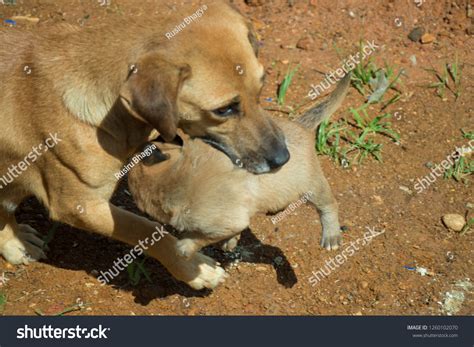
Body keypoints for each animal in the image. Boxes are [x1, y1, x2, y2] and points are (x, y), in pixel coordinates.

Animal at [0, 2, 290, 290]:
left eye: (262, 87)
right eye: (223, 109)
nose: (283, 159)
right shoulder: (80, 206)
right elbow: (146, 229)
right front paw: (193, 269)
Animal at [130, 73, 352, 260]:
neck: (177, 176)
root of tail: (300, 125)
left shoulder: (225, 222)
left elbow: (196, 239)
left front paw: (184, 248)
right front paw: (230, 242)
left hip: (312, 186)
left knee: (328, 205)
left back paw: (331, 236)